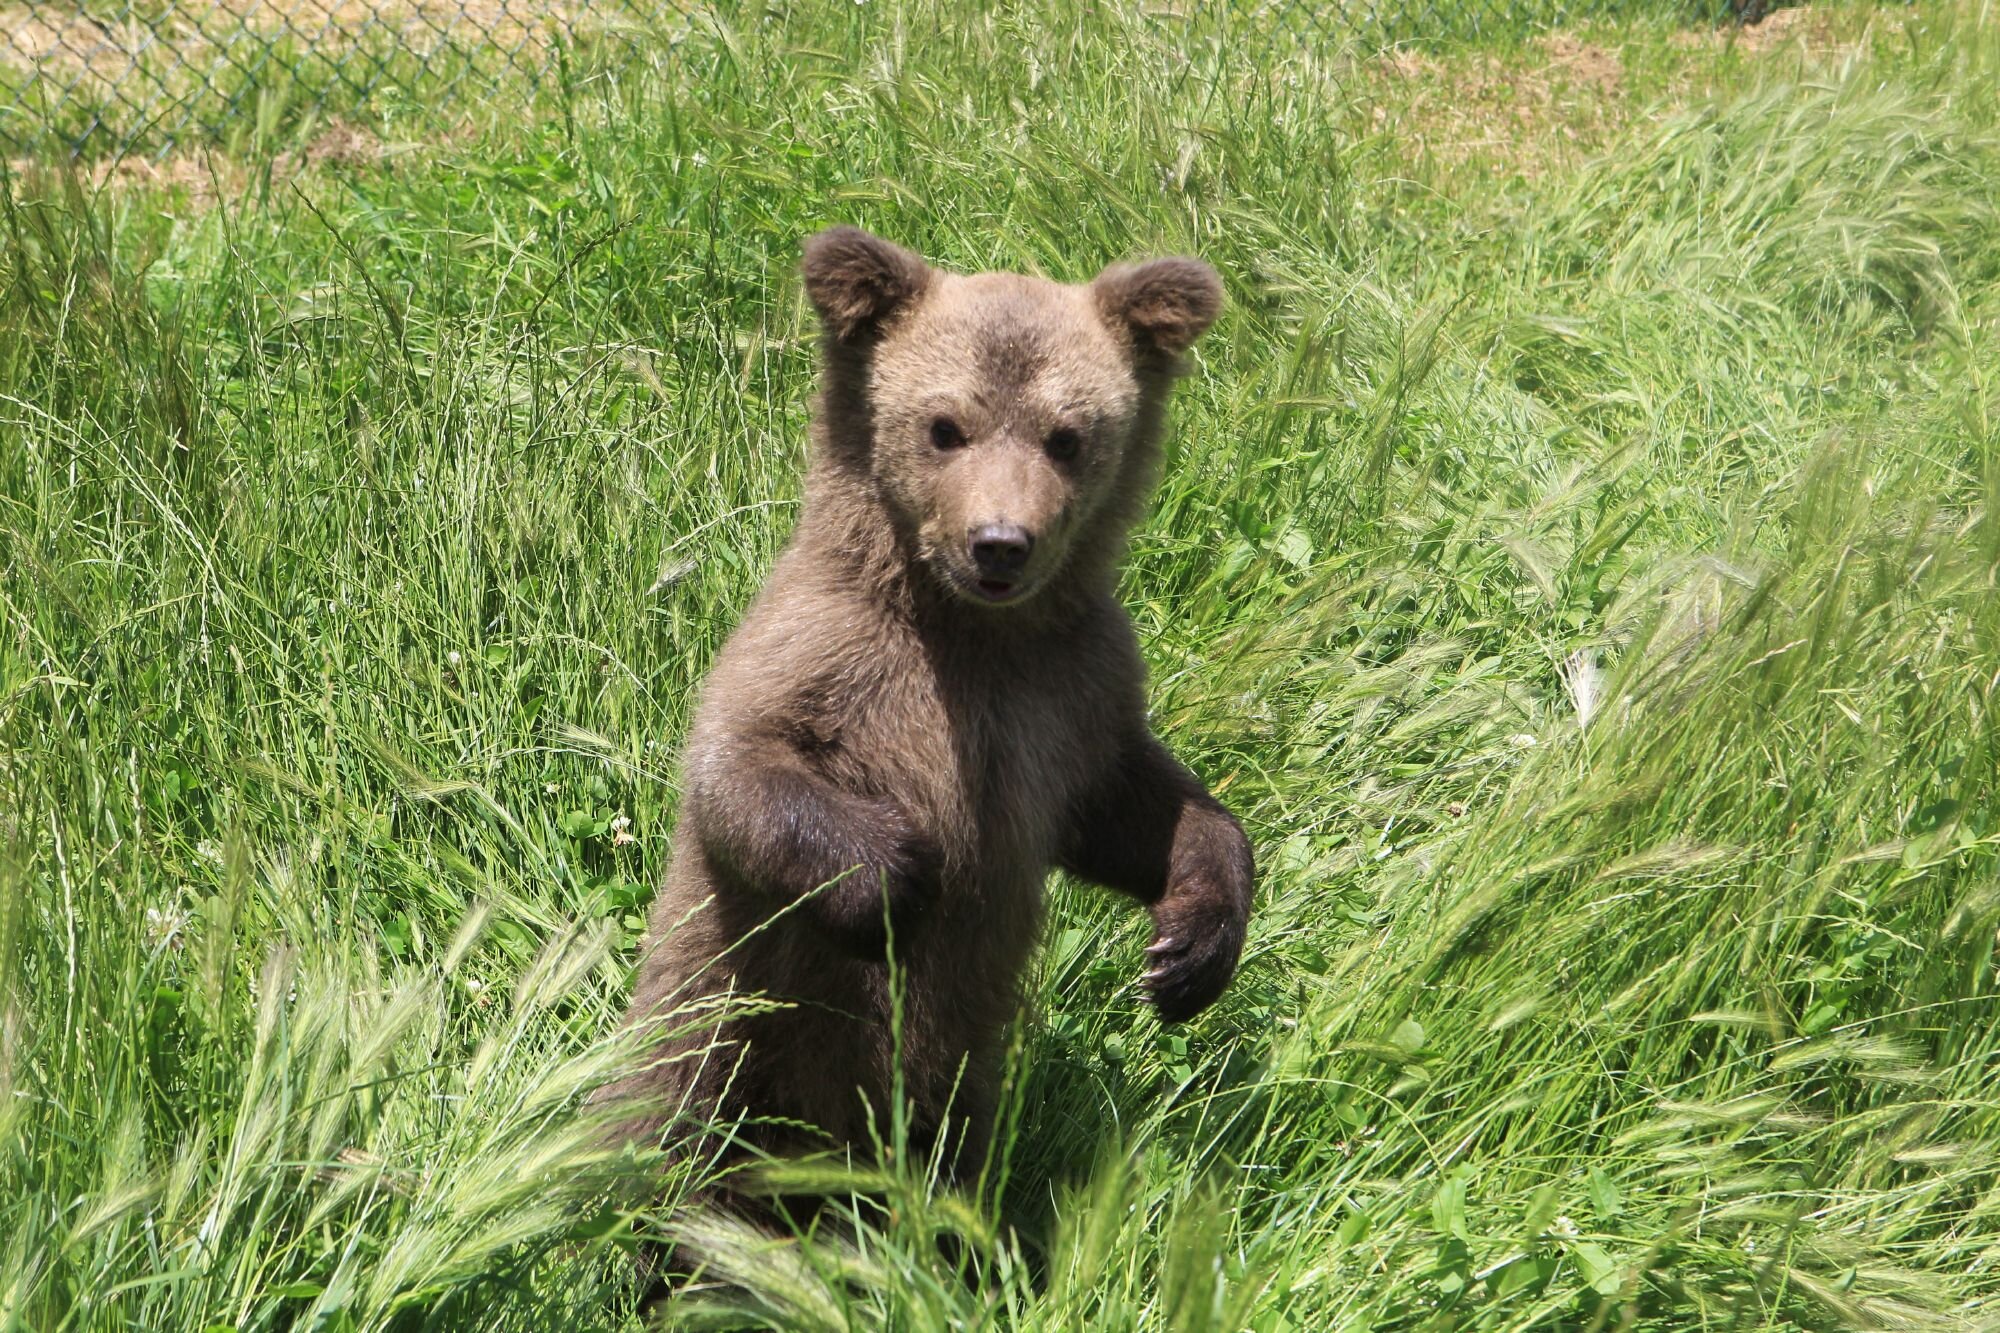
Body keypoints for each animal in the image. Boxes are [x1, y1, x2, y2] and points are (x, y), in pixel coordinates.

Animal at [602, 226, 1254, 1201]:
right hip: (714, 1027)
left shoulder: (1070, 700)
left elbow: (1137, 804)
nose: (1000, 543)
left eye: (1067, 436)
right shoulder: (822, 654)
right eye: (945, 425)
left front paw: (1188, 949)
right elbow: (739, 772)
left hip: (955, 1094)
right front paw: (895, 879)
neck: (967, 630)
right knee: (660, 1125)